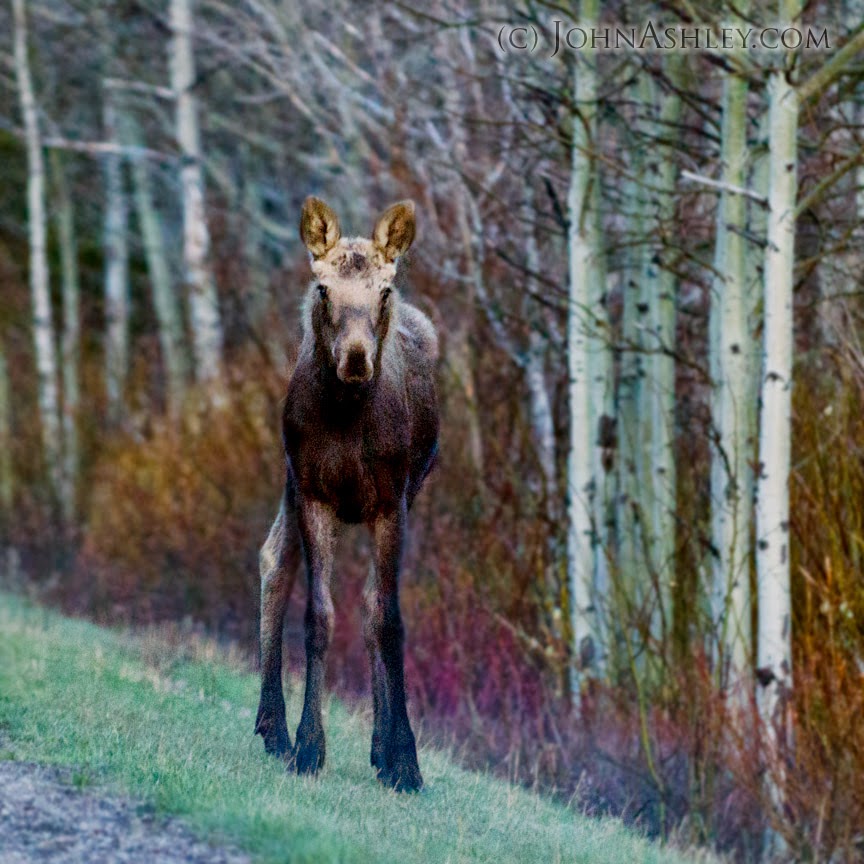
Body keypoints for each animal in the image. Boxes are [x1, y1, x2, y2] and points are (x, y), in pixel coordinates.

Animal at [253, 196, 438, 793]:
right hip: (290, 478)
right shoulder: (315, 490)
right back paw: (273, 728)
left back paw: (379, 747)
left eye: (383, 289)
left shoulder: (392, 501)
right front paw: (309, 748)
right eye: (323, 288)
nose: (356, 359)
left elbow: (387, 620)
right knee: (276, 560)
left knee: (370, 602)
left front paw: (405, 761)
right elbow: (319, 615)